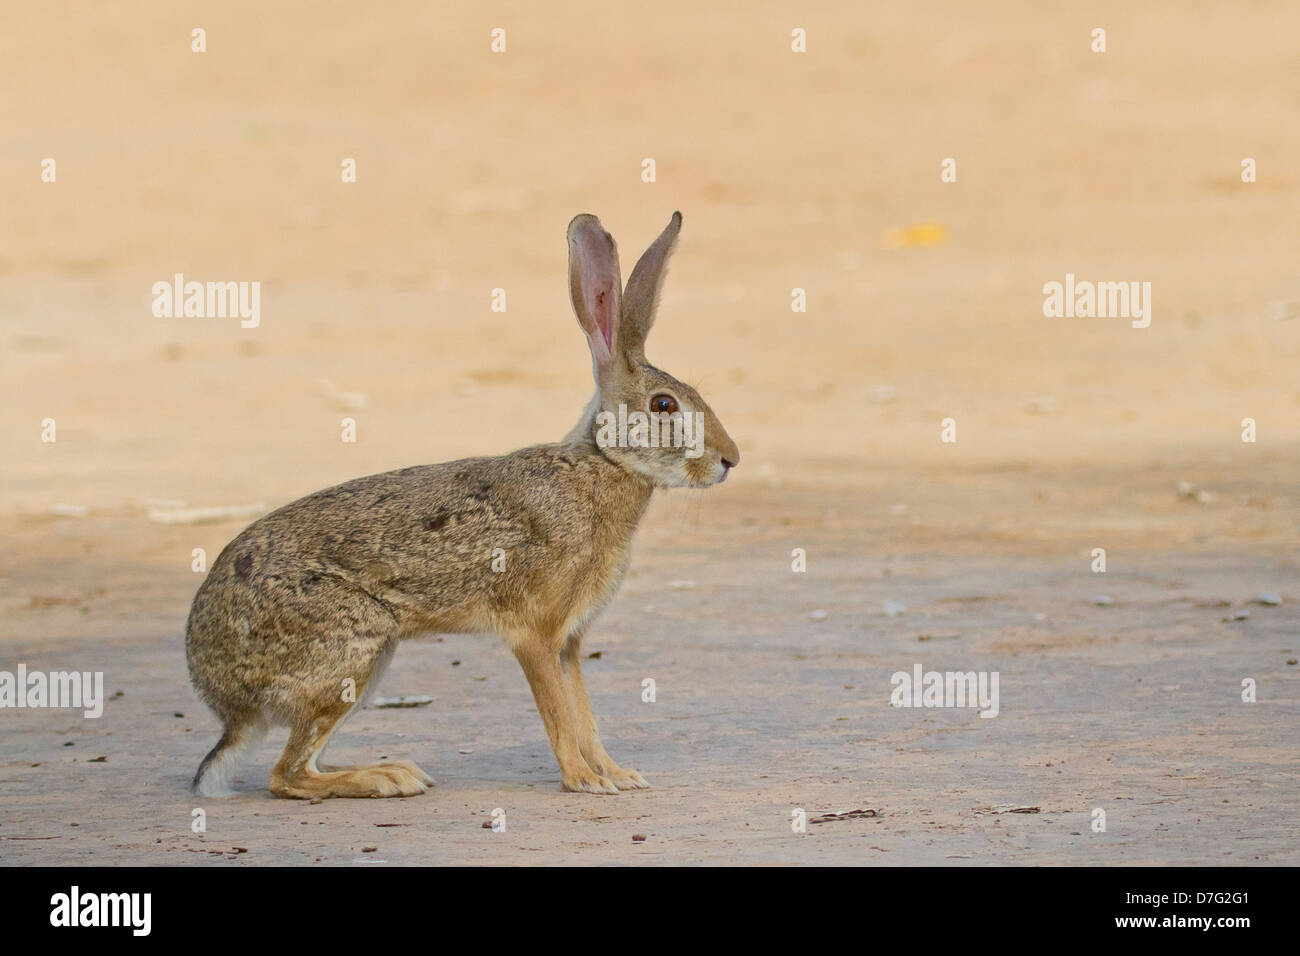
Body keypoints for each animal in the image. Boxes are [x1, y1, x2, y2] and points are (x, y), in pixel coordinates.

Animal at [186, 212, 740, 799]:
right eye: (664, 405)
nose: (730, 459)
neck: (602, 464)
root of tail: (229, 709)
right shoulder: (535, 634)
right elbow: (560, 716)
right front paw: (583, 781)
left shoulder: (568, 642)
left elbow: (584, 714)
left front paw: (616, 775)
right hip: (349, 649)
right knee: (286, 775)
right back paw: (388, 779)